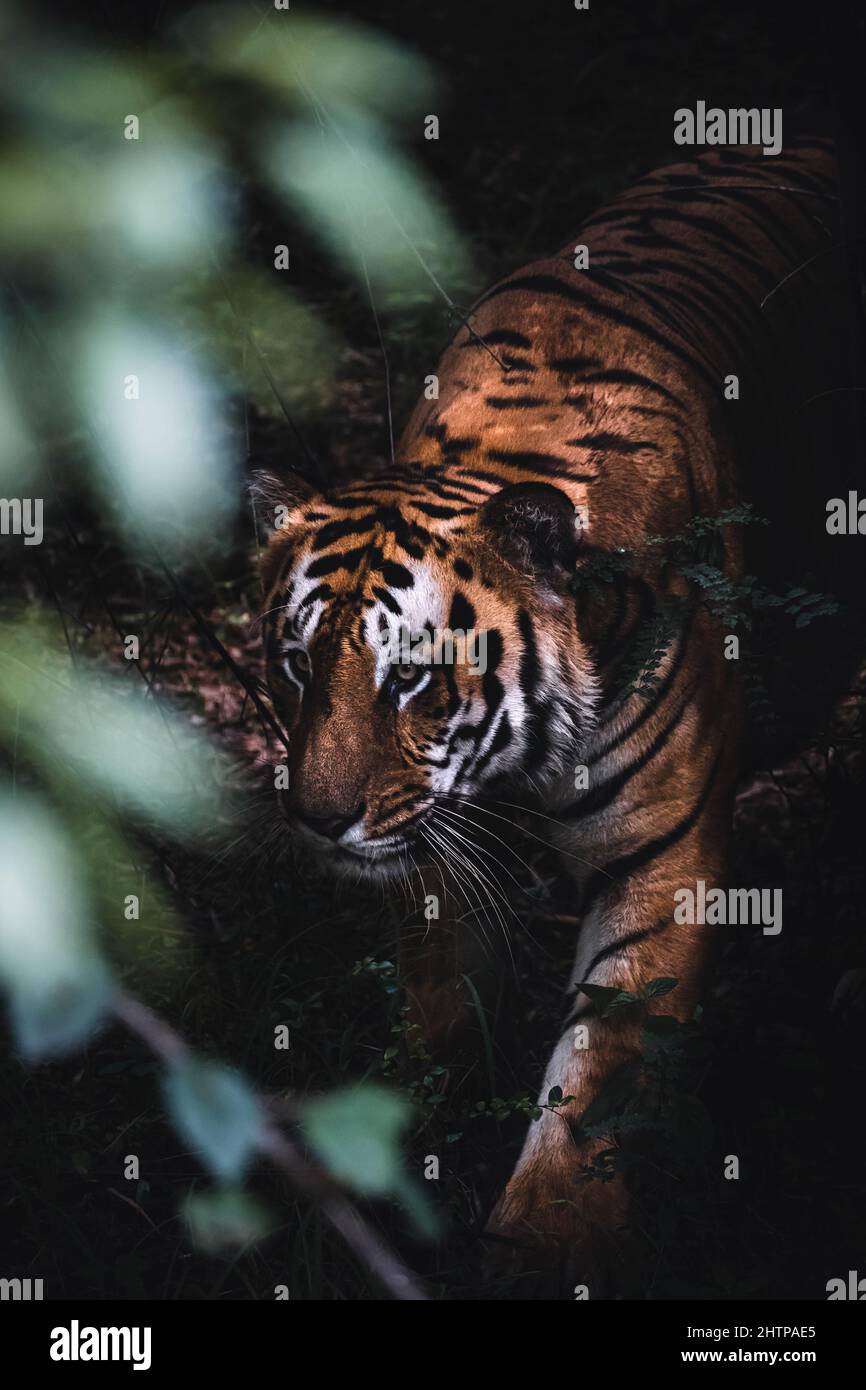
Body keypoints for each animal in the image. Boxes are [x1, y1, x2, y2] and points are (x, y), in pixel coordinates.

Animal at [253, 133, 864, 1288]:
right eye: (297, 667)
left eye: (412, 678)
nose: (316, 821)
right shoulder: (437, 841)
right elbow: (442, 994)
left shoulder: (662, 859)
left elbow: (600, 1072)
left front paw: (538, 1248)